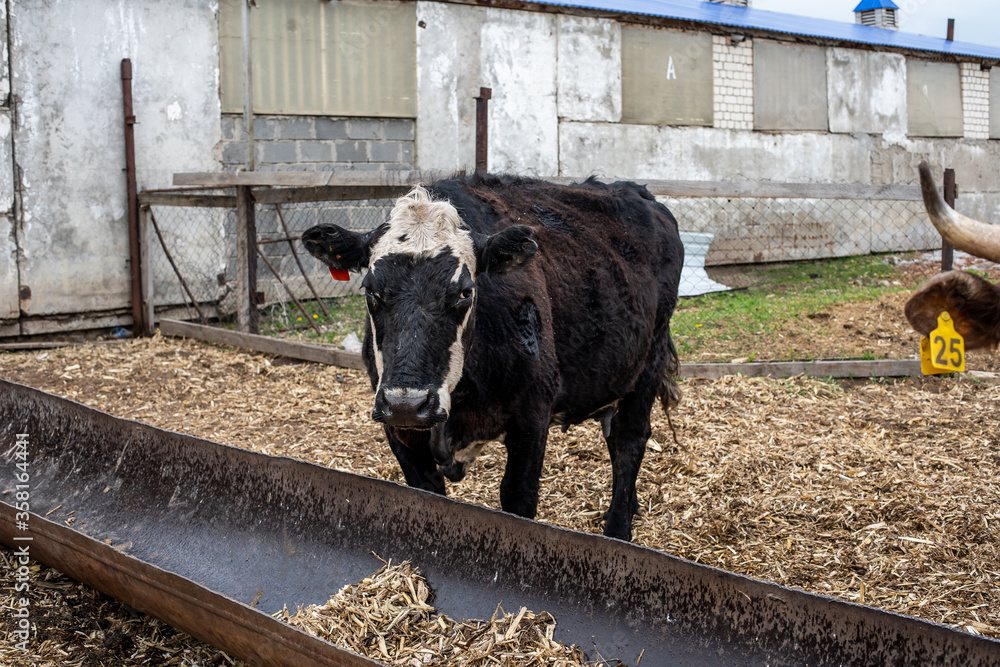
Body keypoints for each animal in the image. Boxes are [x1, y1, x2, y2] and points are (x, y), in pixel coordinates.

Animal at [302, 173, 684, 541]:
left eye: (464, 292)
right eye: (371, 290)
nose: (407, 404)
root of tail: (639, 193)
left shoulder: (532, 416)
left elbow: (518, 499)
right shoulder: (400, 432)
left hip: (650, 360)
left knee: (631, 440)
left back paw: (618, 530)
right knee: (615, 437)